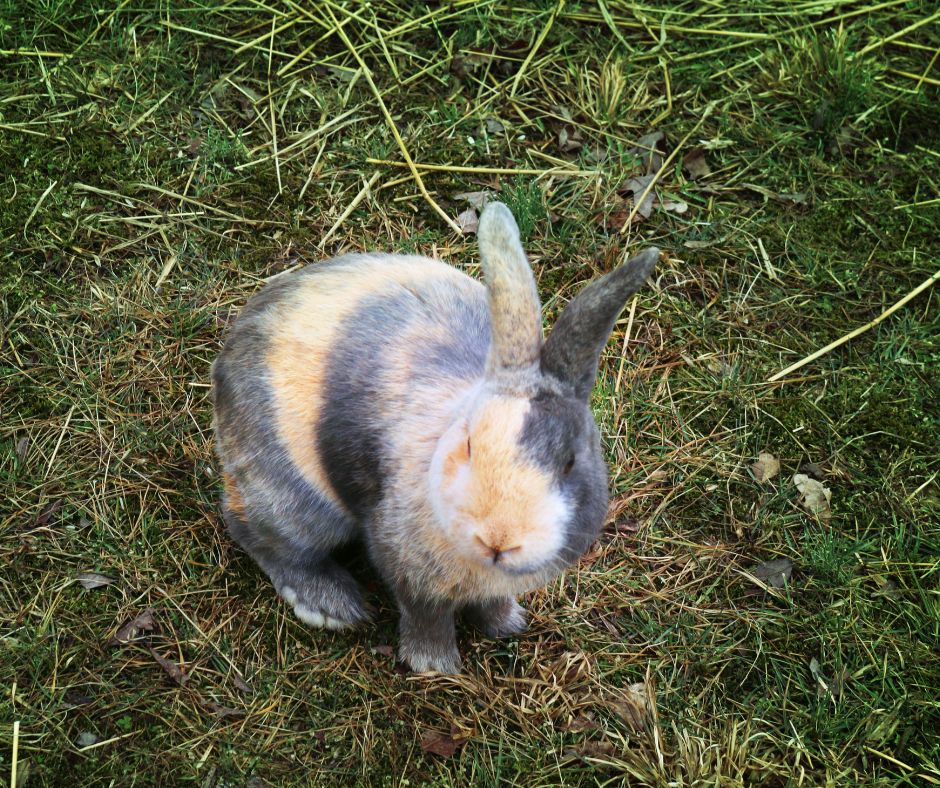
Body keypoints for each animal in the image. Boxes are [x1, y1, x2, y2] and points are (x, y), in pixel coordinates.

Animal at [211, 201, 658, 673]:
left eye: (570, 462)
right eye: (469, 443)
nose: (498, 539)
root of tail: (231, 351)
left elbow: (492, 603)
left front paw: (507, 625)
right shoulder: (405, 564)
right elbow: (425, 615)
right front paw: (434, 666)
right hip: (296, 498)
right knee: (259, 533)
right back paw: (332, 606)